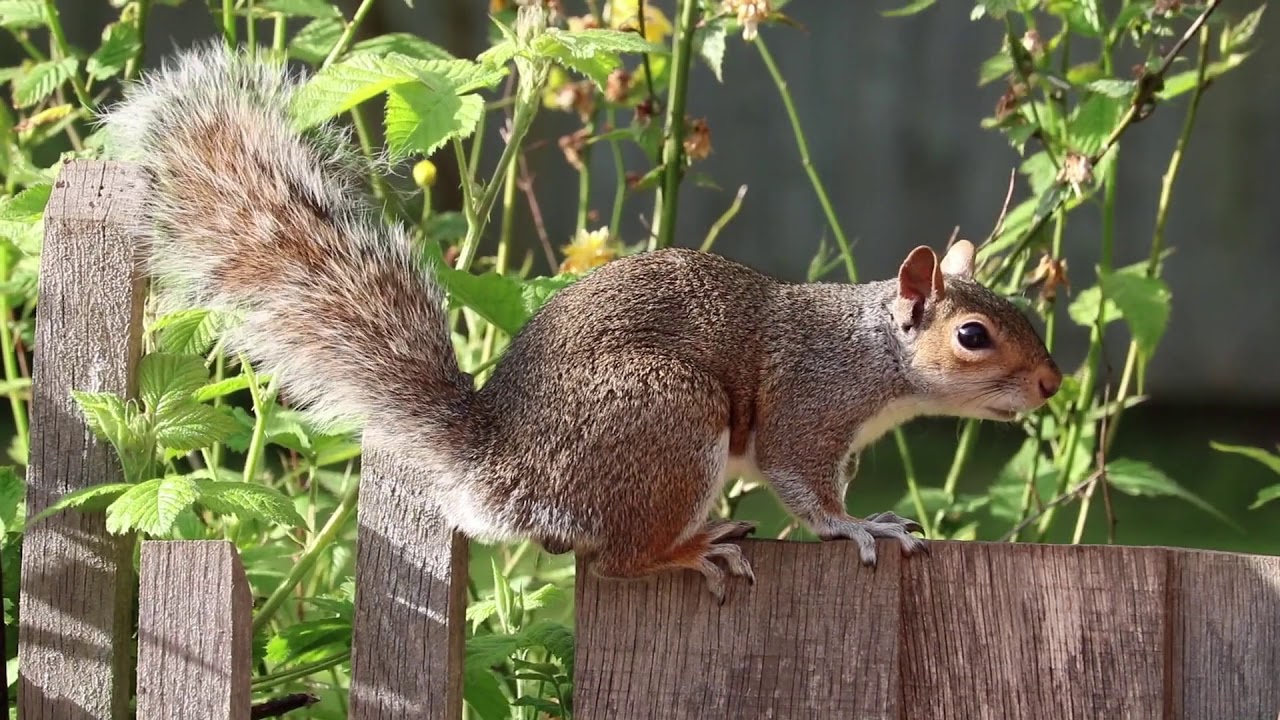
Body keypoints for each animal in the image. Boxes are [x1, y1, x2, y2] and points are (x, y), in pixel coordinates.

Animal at [100, 43, 1062, 603]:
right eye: (973, 336)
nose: (1053, 382)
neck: (874, 356)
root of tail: (499, 467)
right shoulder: (810, 406)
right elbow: (806, 486)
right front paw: (860, 528)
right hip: (668, 419)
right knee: (615, 561)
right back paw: (693, 549)